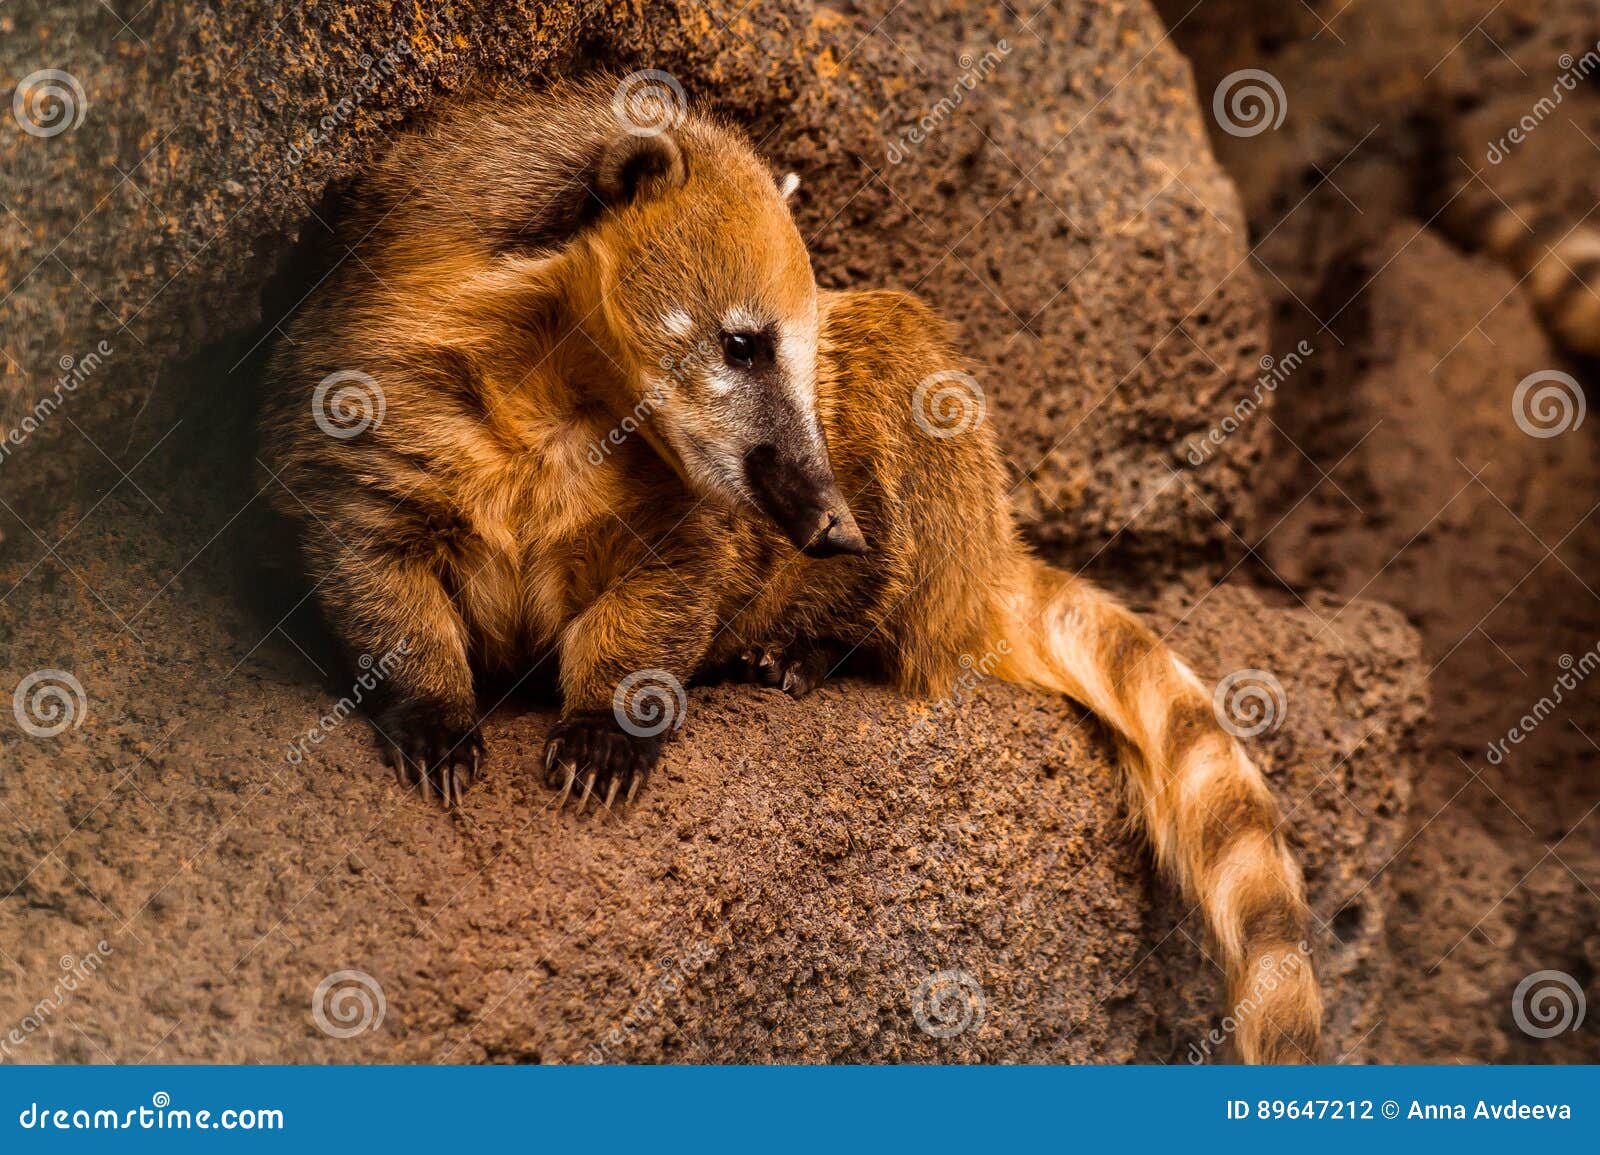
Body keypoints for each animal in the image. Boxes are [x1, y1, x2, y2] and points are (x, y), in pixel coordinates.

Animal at [258, 76, 1322, 1063]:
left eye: (799, 361)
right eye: (741, 343)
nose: (833, 526)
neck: (558, 385)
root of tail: (990, 554)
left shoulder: (696, 512)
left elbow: (662, 598)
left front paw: (605, 727)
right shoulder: (365, 396)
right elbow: (370, 559)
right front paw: (432, 715)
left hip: (934, 459)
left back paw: (810, 647)